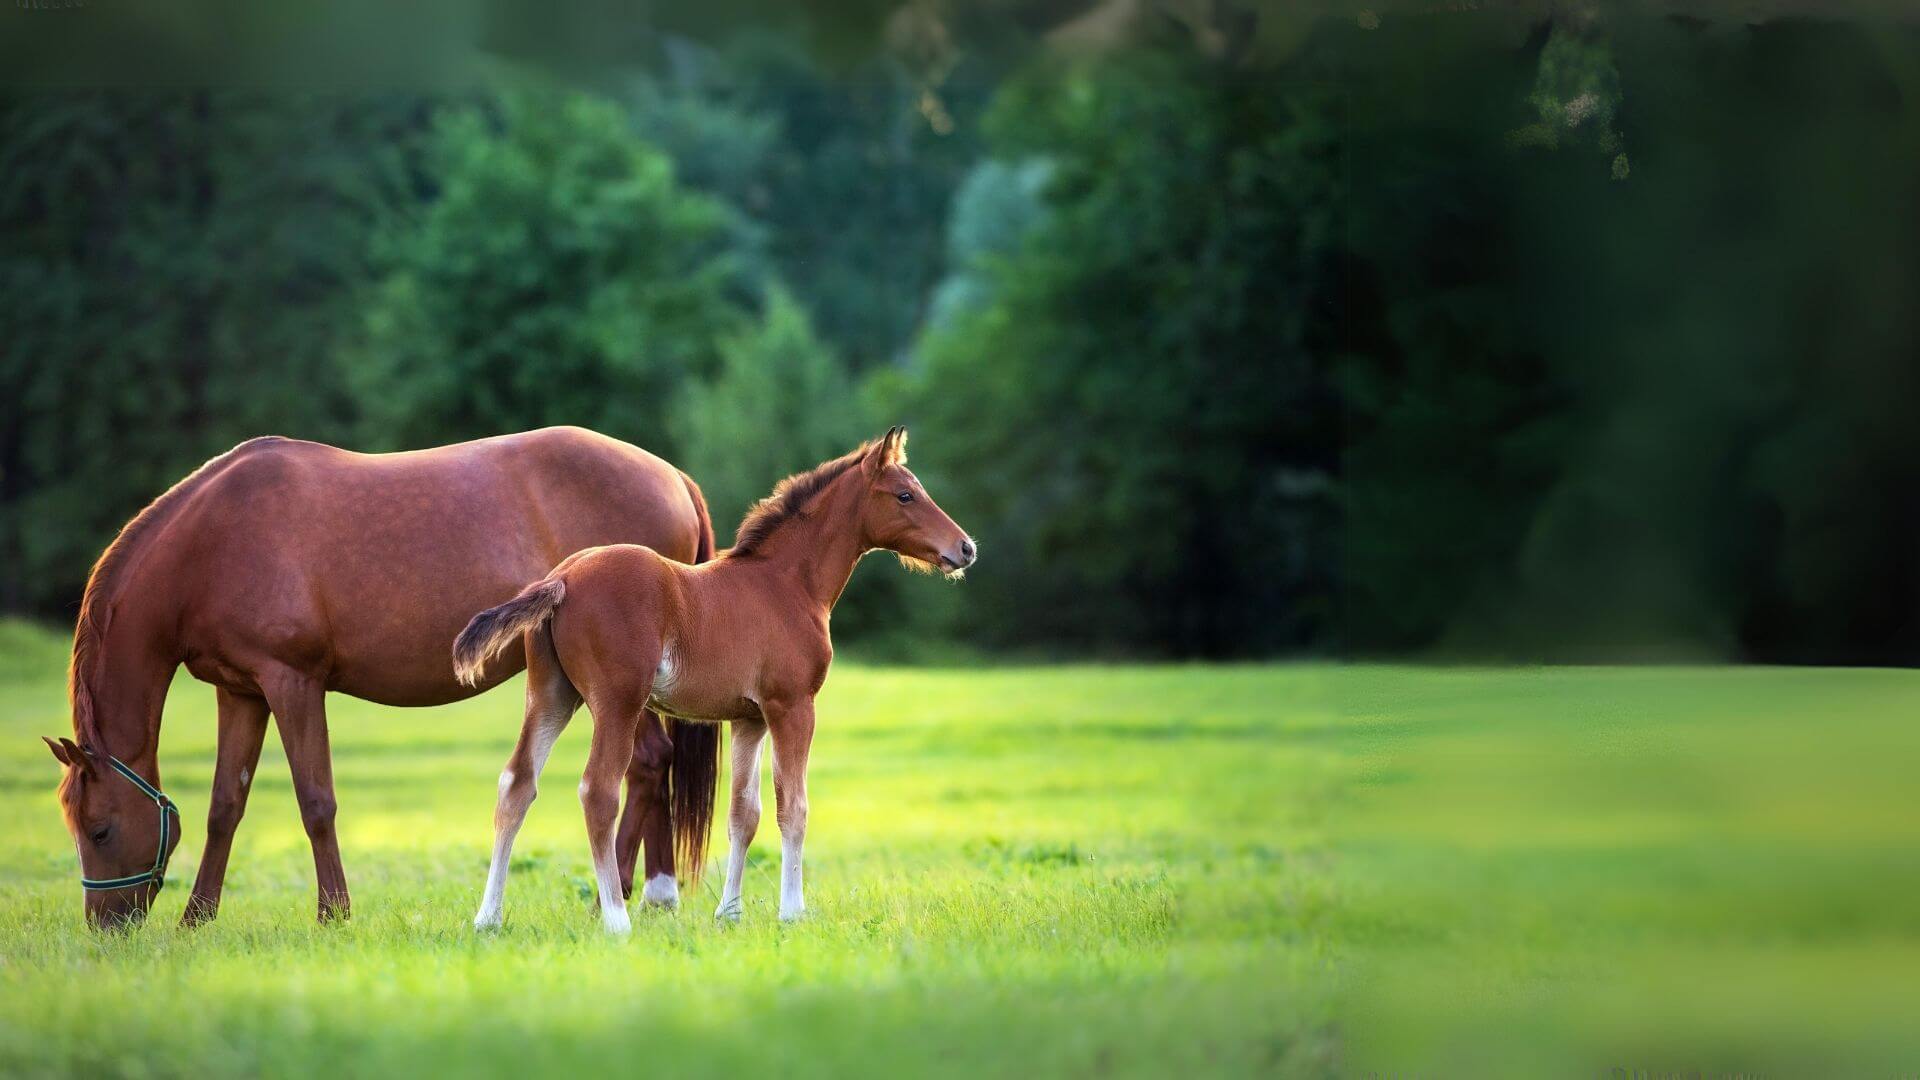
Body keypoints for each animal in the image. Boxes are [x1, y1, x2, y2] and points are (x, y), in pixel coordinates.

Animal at [41, 427, 722, 928]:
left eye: (100, 829)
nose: (106, 926)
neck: (212, 542)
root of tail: (673, 476)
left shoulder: (291, 683)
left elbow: (316, 801)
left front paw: (334, 914)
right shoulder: (239, 692)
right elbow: (224, 806)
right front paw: (197, 919)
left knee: (645, 765)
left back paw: (627, 890)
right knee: (651, 764)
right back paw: (652, 892)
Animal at [452, 427, 974, 932]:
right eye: (905, 495)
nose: (965, 548)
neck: (786, 584)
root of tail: (562, 579)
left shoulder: (750, 719)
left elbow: (744, 814)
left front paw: (730, 913)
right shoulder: (793, 706)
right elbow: (793, 808)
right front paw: (792, 912)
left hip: (551, 695)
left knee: (517, 784)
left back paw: (487, 918)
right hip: (617, 703)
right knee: (598, 791)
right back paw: (617, 920)